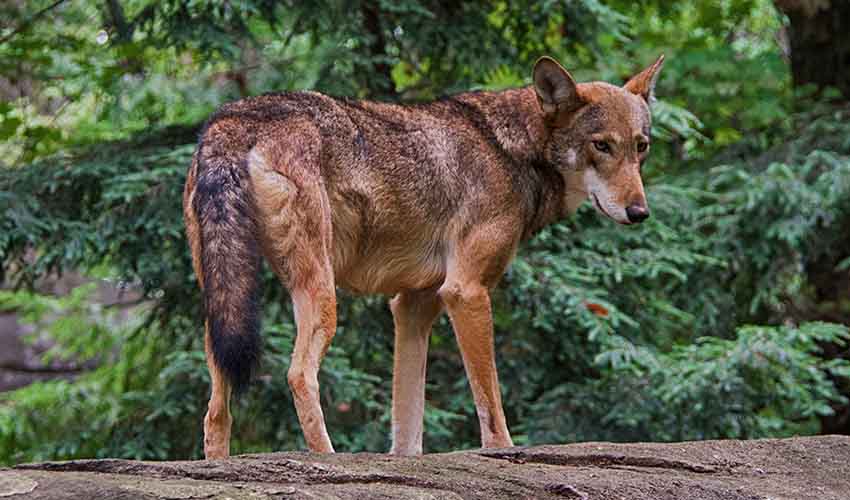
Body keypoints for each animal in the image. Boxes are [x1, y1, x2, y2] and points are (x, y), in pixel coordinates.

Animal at [183, 54, 664, 458]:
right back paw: (328, 459)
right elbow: (491, 408)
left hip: (224, 307)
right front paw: (504, 454)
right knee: (298, 374)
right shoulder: (465, 293)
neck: (511, 148)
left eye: (640, 146)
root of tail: (233, 120)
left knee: (215, 410)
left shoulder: (413, 306)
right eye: (601, 145)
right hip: (319, 296)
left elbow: (408, 426)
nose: (639, 212)